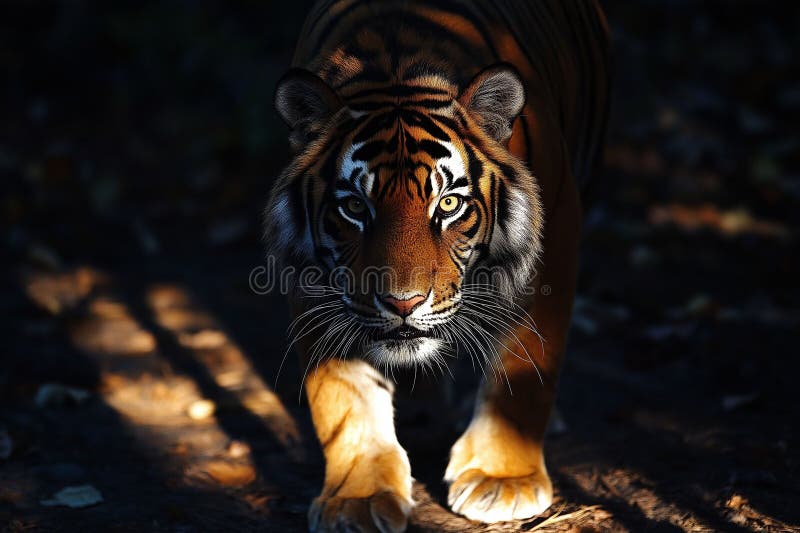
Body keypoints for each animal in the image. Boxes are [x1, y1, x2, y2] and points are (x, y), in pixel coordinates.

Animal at [265, 0, 611, 530]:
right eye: (355, 207)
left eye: (447, 204)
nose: (403, 304)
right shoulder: (313, 275)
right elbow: (341, 395)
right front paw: (360, 497)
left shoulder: (552, 239)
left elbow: (524, 363)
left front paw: (502, 478)